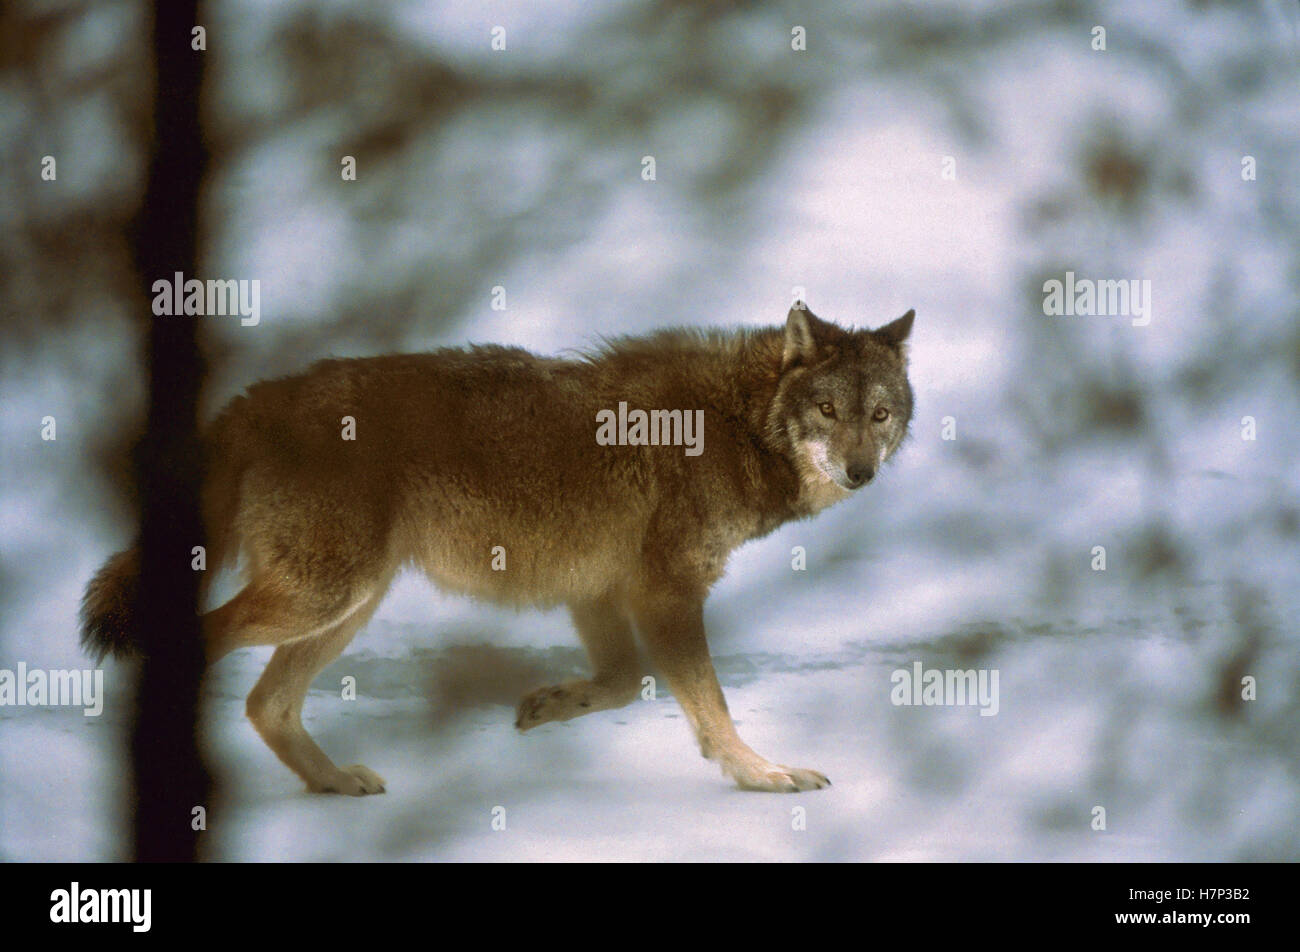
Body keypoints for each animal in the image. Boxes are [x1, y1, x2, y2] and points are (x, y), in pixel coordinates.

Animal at [81, 302, 915, 794]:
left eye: (878, 414)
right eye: (827, 409)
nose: (861, 472)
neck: (736, 423)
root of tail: (255, 401)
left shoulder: (600, 592)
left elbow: (620, 684)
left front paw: (547, 707)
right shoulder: (666, 594)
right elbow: (713, 708)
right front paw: (764, 776)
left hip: (347, 607)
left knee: (265, 703)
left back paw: (333, 784)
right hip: (322, 598)